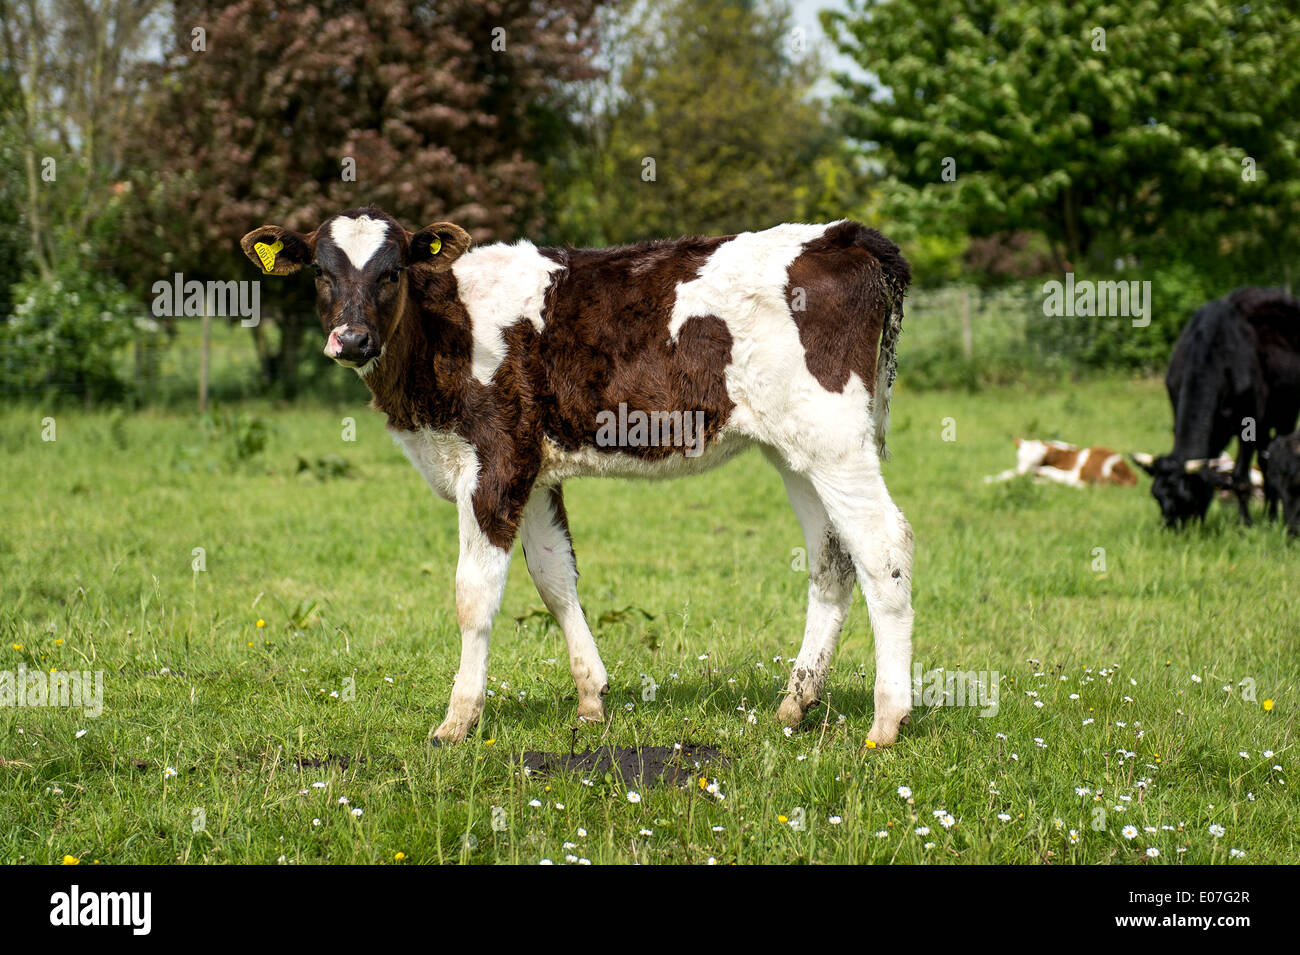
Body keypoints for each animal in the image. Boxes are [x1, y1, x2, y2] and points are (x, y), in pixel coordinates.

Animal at [241, 207, 915, 749]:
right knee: (832, 559)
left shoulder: (497, 459)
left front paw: (458, 720)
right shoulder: (536, 472)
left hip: (835, 439)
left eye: (392, 272)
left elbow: (474, 596)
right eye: (320, 272)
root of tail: (844, 235)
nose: (352, 339)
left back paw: (887, 720)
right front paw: (592, 699)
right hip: (795, 449)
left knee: (884, 549)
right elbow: (554, 577)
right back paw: (794, 705)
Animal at [1135, 287, 1300, 527]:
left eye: (1186, 496)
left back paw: (1270, 518)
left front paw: (1244, 524)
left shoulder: (1249, 422)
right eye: (1156, 495)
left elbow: (1240, 478)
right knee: (1265, 460)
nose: (1171, 530)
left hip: (1286, 414)